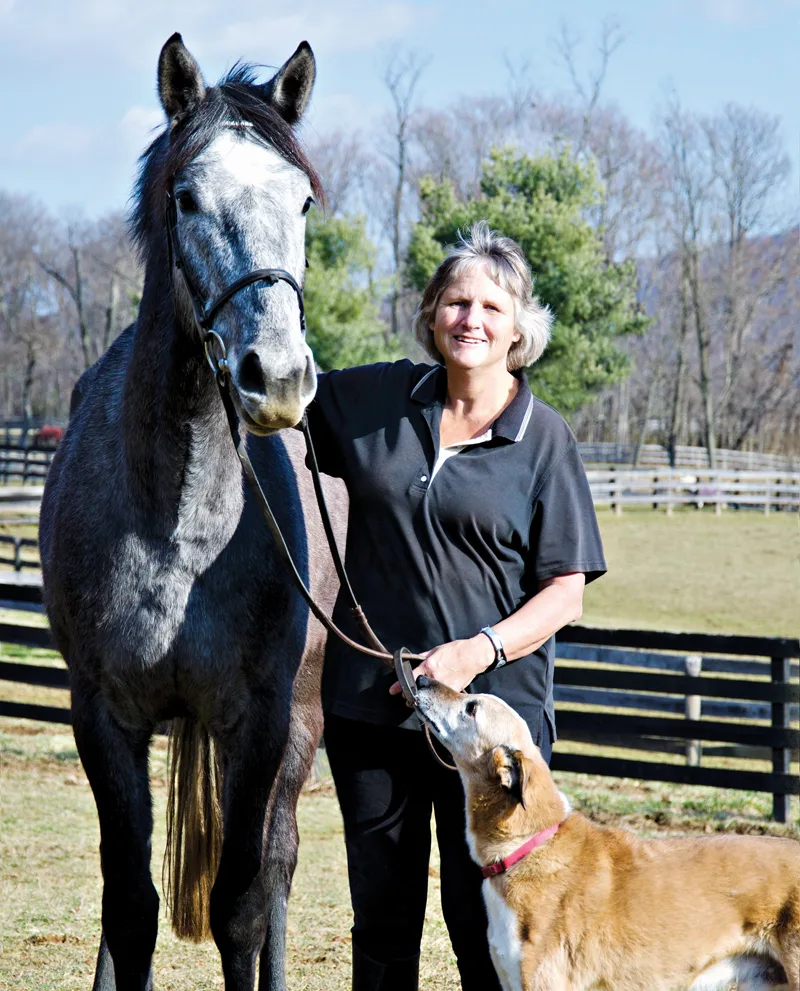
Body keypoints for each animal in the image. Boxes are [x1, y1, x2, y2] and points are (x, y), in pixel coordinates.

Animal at [39, 34, 346, 991]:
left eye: (303, 200)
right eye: (188, 197)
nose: (275, 377)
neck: (182, 528)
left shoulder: (261, 721)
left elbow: (241, 907)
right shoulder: (103, 716)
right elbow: (128, 906)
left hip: (302, 729)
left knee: (276, 867)